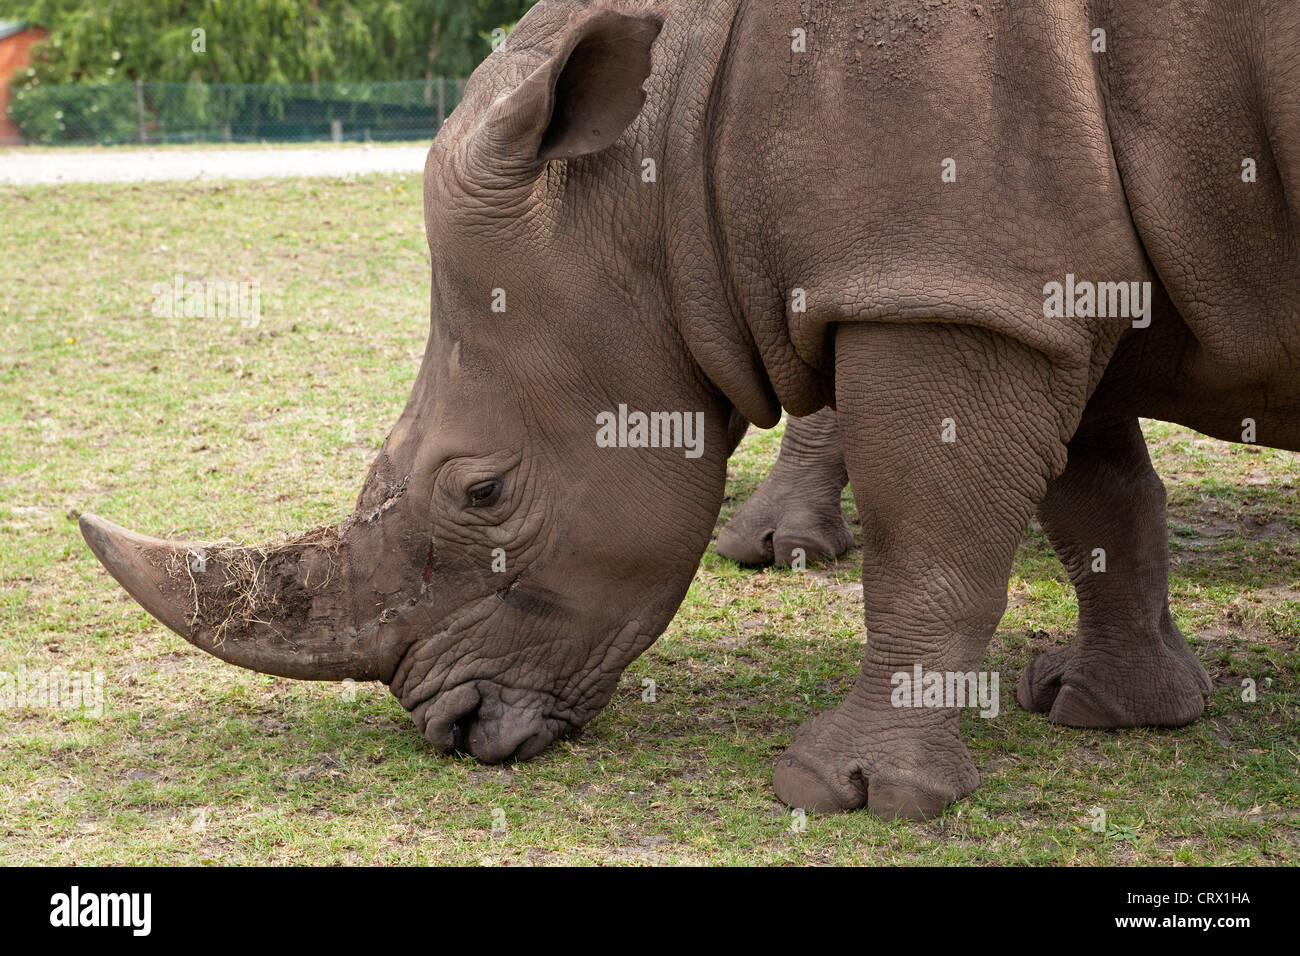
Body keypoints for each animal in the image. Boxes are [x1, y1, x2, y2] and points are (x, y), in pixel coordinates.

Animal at [81, 0, 1298, 820]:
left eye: (484, 490)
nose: (452, 731)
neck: (662, 162)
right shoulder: (1016, 284)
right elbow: (1099, 498)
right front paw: (1113, 708)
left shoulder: (948, 283)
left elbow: (933, 538)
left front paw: (845, 790)